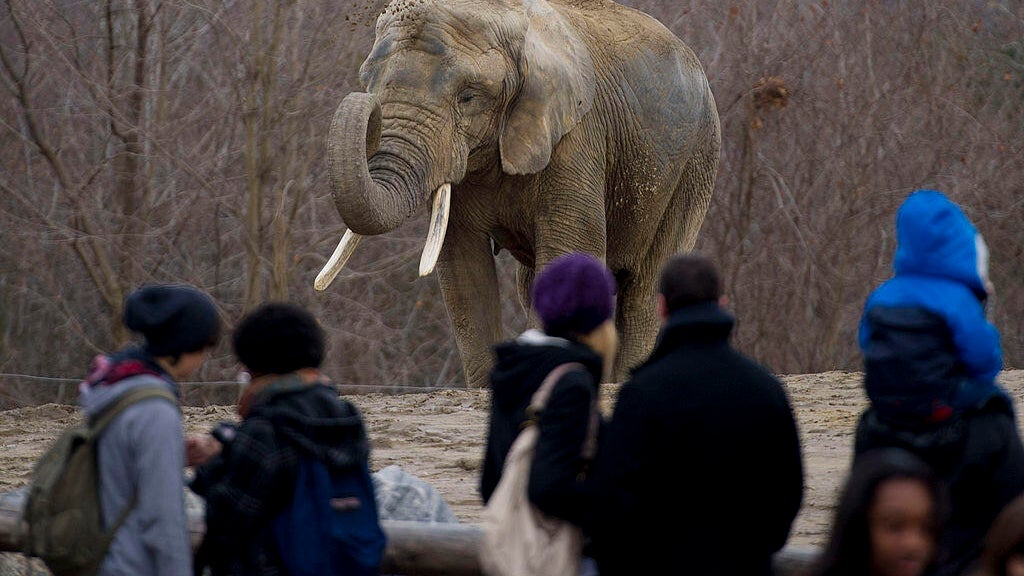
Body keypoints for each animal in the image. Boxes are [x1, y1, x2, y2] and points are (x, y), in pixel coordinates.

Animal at [315, 0, 721, 388]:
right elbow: (465, 271)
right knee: (529, 285)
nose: (367, 105)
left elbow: (567, 254)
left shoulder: (577, 137)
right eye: (368, 80)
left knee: (645, 292)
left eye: (468, 97)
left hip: (696, 161)